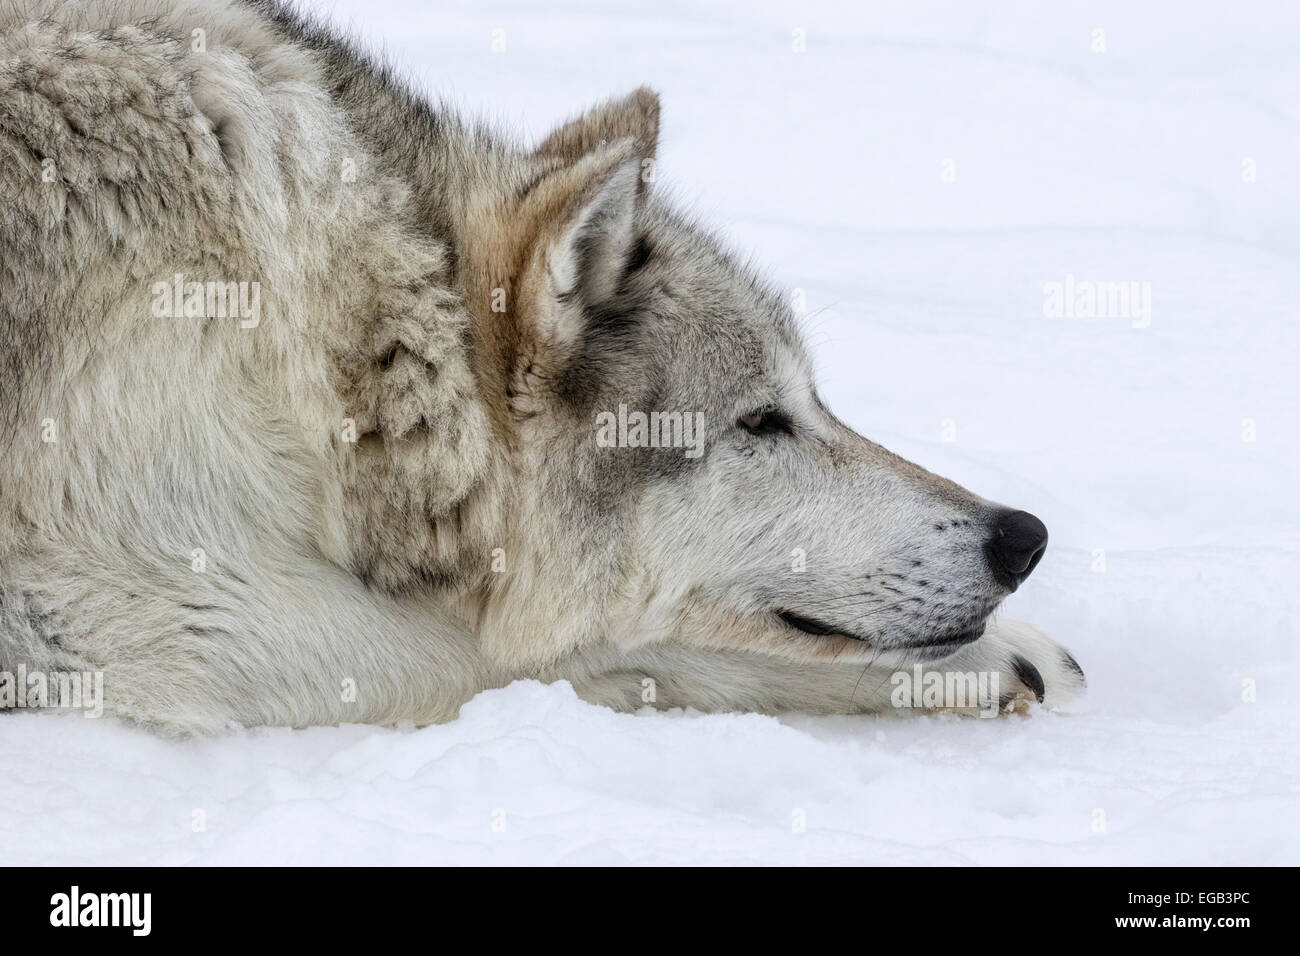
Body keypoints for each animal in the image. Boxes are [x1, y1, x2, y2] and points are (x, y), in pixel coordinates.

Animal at [0, 0, 1084, 733]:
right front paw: (978, 660)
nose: (1022, 537)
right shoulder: (117, 610)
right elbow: (574, 650)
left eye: (813, 399)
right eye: (760, 420)